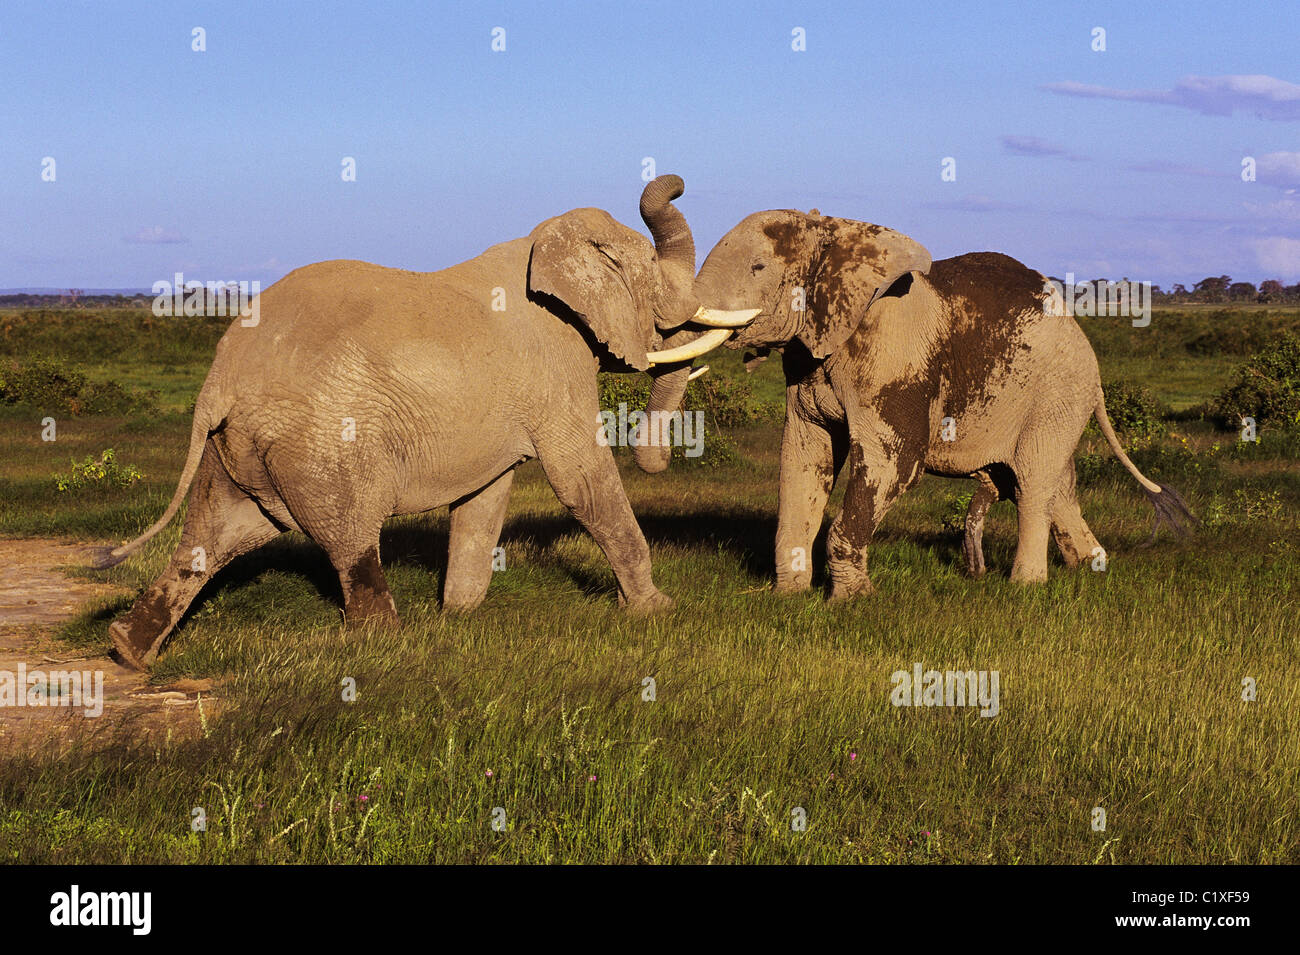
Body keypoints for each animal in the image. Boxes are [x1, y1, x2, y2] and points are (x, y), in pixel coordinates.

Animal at [93, 176, 754, 670]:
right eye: (650, 277)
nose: (678, 179)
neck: (549, 243)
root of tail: (219, 377)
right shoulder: (555, 361)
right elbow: (579, 477)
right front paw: (657, 611)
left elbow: (487, 496)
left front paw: (459, 615)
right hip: (321, 440)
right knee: (348, 535)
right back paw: (386, 643)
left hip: (240, 444)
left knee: (219, 532)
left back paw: (127, 651)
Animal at [639, 208, 1193, 597]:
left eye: (757, 267)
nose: (660, 460)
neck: (838, 233)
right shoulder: (806, 356)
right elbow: (803, 456)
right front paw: (788, 597)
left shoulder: (891, 352)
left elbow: (894, 458)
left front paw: (852, 601)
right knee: (1055, 483)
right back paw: (1092, 568)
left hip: (1057, 390)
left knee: (1034, 481)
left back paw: (1026, 587)